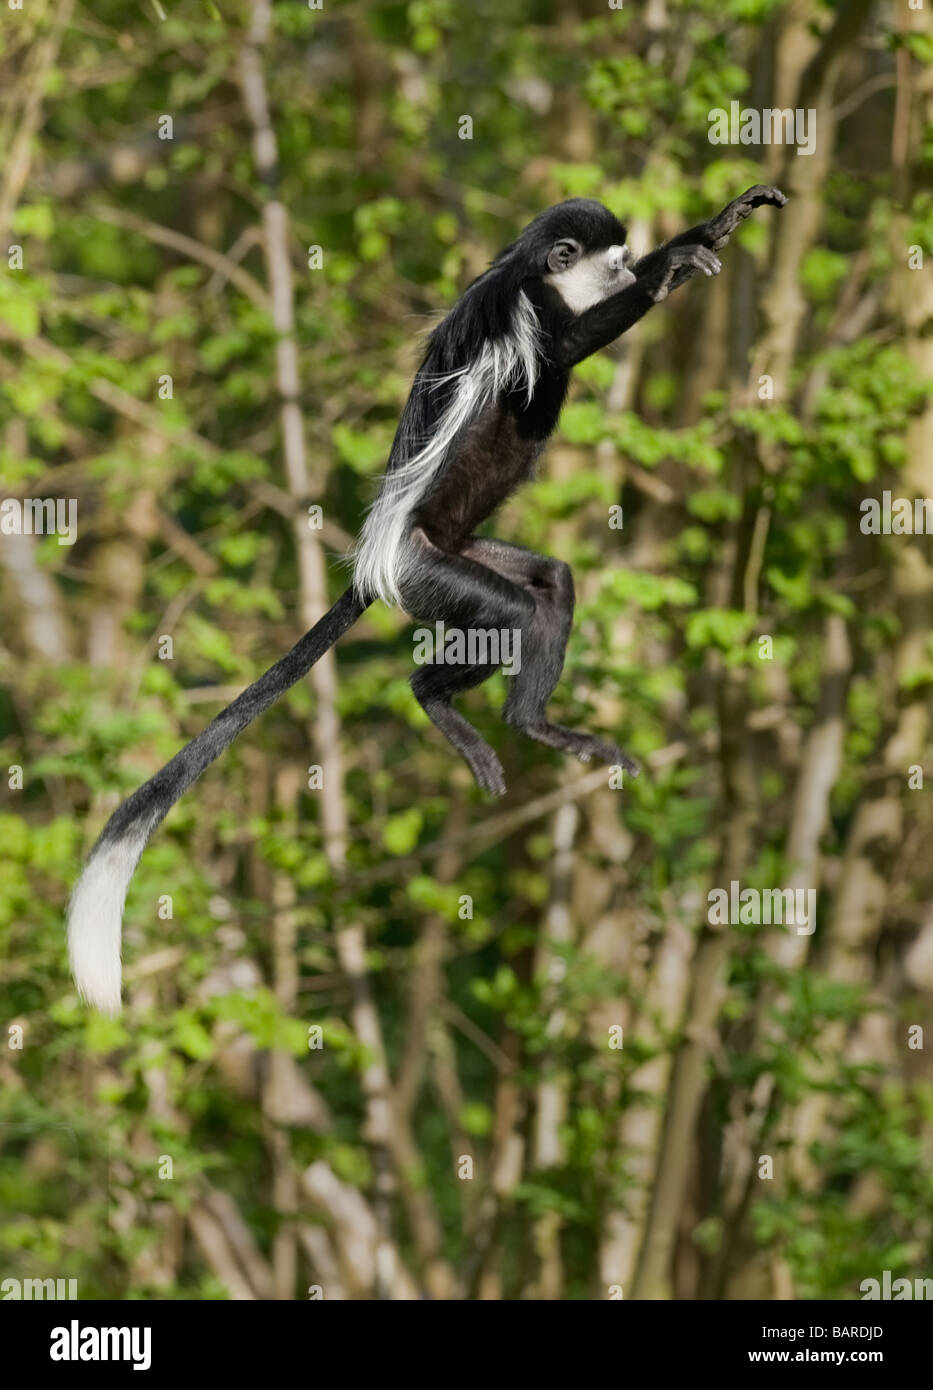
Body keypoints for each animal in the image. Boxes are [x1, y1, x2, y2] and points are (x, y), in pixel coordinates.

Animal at [68, 185, 786, 1013]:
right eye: (613, 266)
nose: (630, 271)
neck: (531, 277)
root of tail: (378, 562)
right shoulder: (522, 316)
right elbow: (565, 348)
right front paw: (670, 273)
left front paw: (722, 220)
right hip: (426, 573)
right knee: (507, 615)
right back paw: (460, 706)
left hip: (457, 551)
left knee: (550, 586)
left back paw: (537, 723)